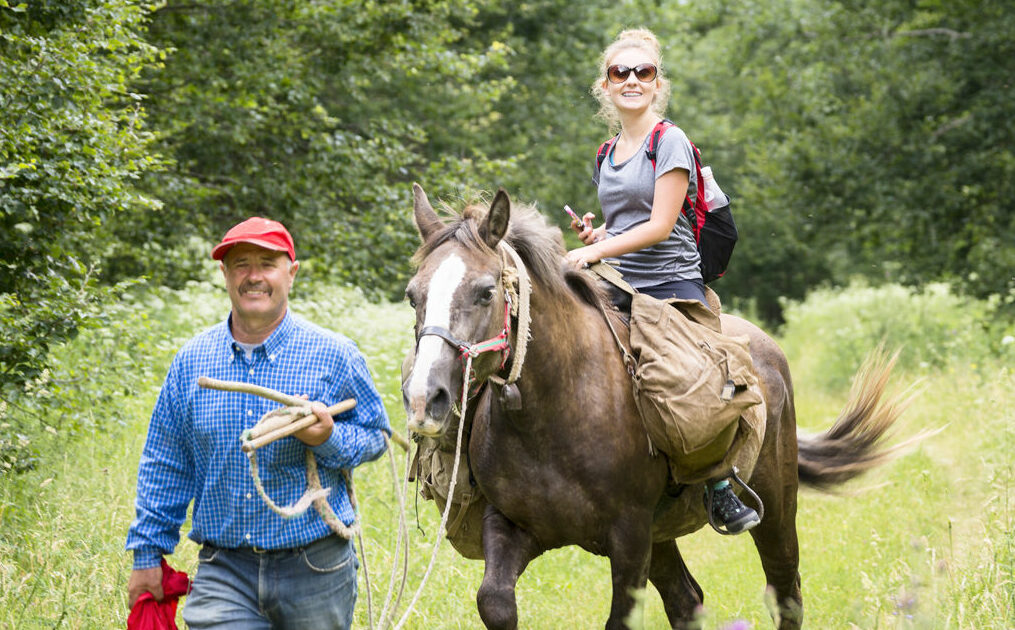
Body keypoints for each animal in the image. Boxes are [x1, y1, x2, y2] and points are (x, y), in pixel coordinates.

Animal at [401, 183, 912, 630]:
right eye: (413, 296)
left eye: (486, 291)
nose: (425, 398)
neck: (555, 413)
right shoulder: (510, 525)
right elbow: (495, 603)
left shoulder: (629, 538)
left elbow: (620, 620)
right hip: (663, 535)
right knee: (688, 602)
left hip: (776, 508)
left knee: (786, 594)